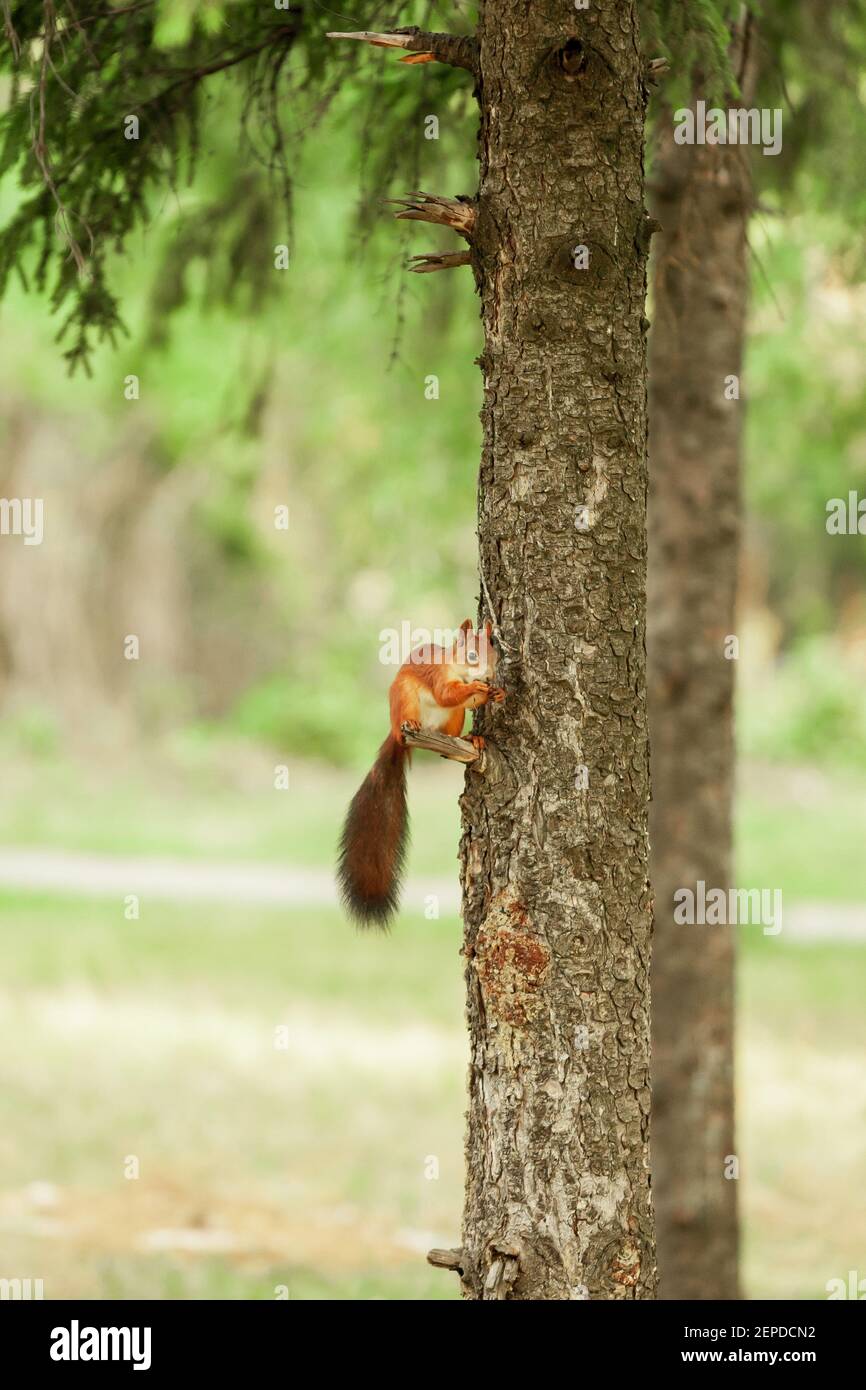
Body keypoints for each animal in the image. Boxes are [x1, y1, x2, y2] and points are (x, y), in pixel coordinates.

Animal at [337, 618, 505, 929]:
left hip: (452, 719)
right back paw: (414, 724)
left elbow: (470, 701)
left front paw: (497, 692)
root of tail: (397, 734)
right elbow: (447, 694)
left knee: (451, 734)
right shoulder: (438, 676)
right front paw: (477, 687)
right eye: (471, 656)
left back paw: (470, 739)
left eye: (494, 653)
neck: (456, 668)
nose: (487, 676)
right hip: (404, 698)